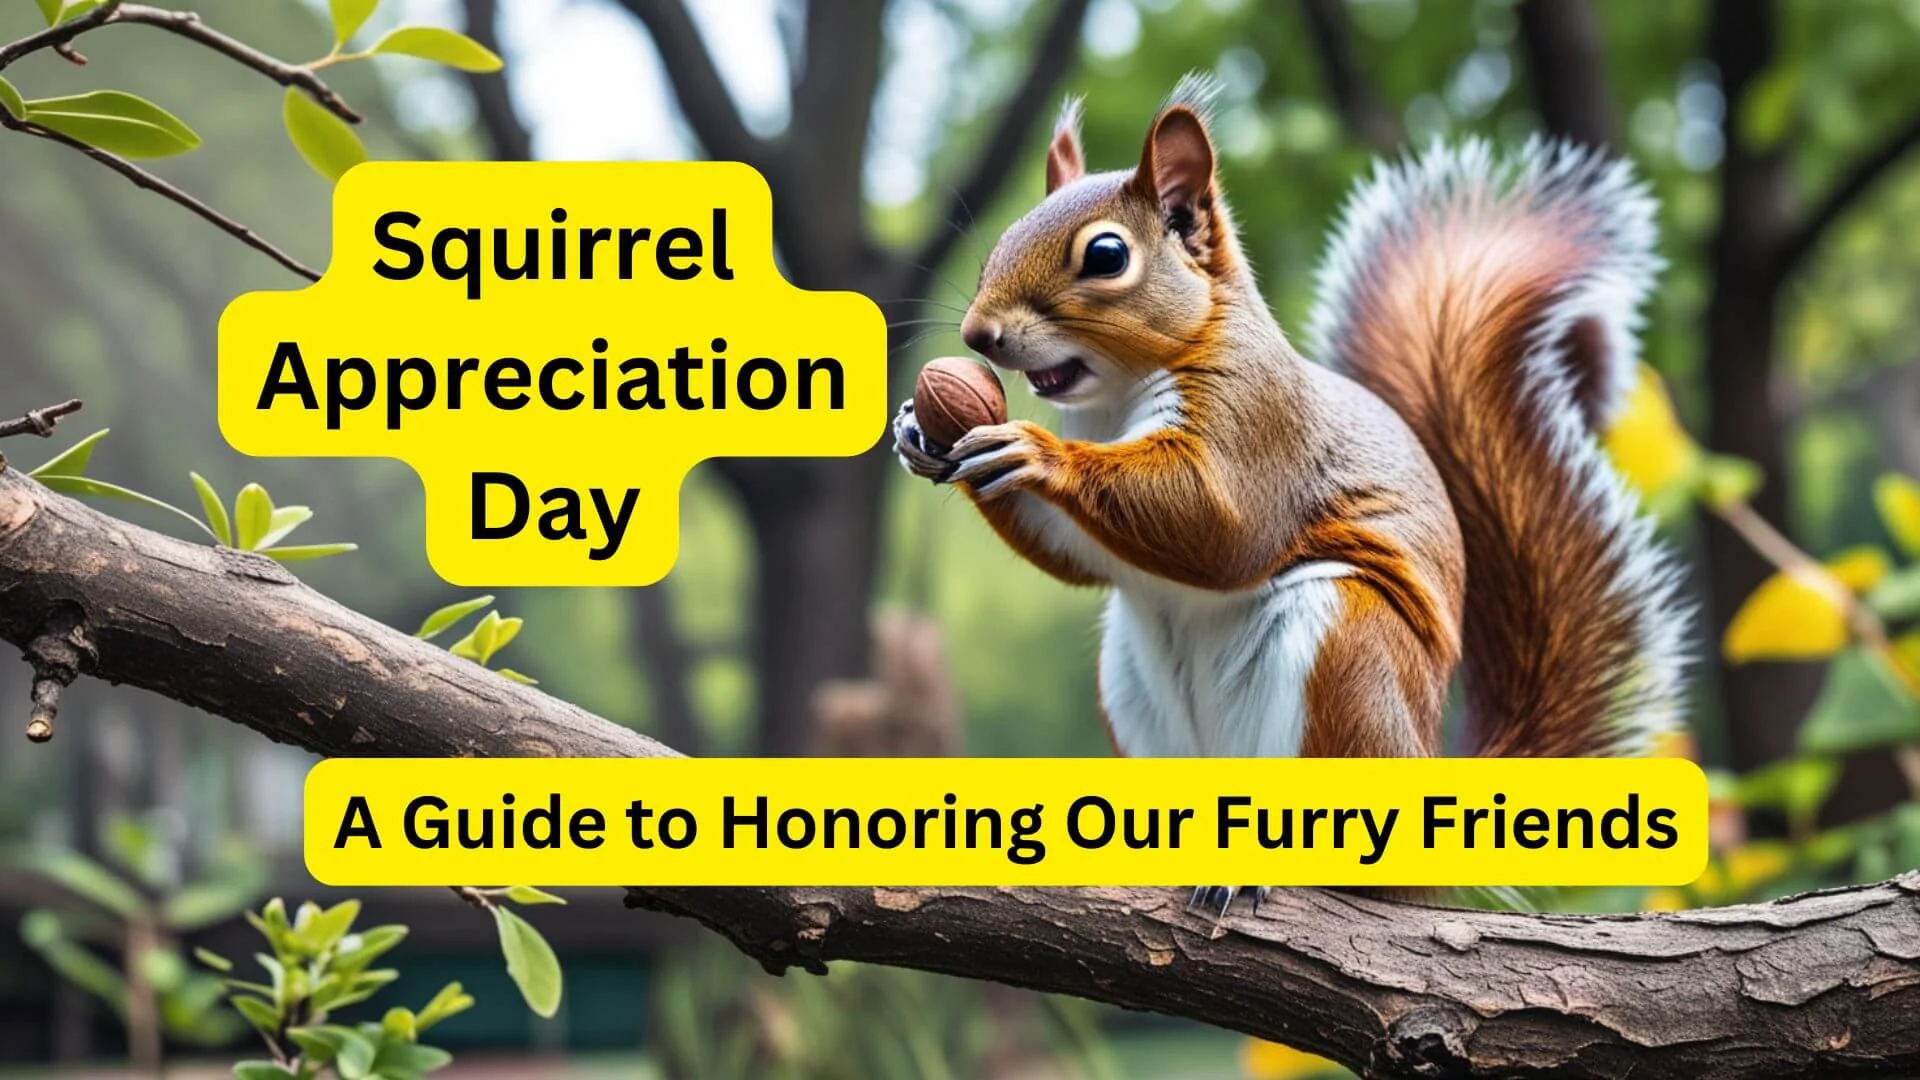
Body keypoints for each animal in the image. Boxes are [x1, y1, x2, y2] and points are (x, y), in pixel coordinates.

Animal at [893, 77, 1690, 901]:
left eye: (1107, 255)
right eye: (1005, 234)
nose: (978, 335)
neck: (1113, 402)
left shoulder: (1258, 423)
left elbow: (1221, 525)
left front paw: (1037, 450)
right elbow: (1085, 556)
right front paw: (925, 438)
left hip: (1348, 655)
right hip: (1136, 693)